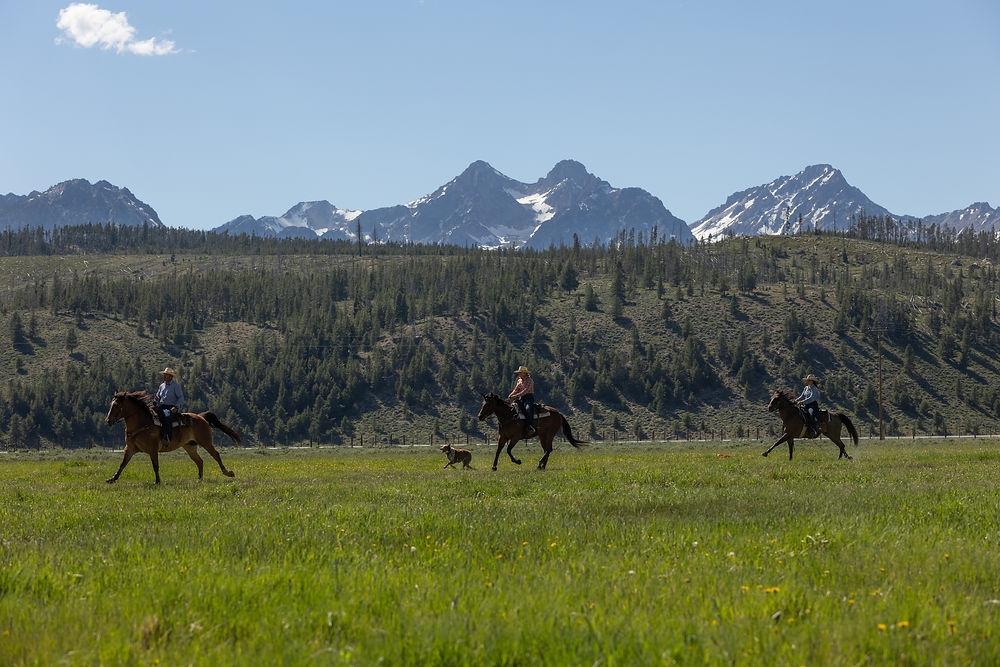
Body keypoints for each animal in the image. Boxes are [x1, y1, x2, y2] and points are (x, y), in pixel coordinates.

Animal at [104, 391, 239, 484]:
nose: (108, 421)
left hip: (206, 442)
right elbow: (122, 464)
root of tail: (201, 417)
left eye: (117, 405)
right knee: (199, 461)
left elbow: (155, 465)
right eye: (111, 404)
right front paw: (113, 478)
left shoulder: (153, 450)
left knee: (216, 455)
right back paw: (199, 479)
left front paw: (157, 481)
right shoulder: (130, 448)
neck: (142, 424)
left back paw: (228, 472)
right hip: (190, 446)